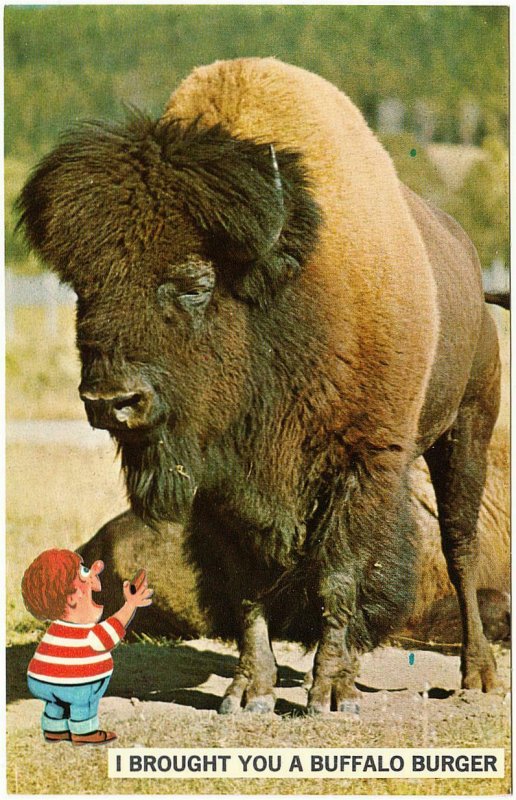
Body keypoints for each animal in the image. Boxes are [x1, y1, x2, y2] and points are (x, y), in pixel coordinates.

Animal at [18, 58, 501, 713]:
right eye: (82, 288)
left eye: (194, 284)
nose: (112, 401)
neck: (283, 294)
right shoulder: (218, 492)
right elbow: (245, 588)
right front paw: (250, 690)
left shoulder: (360, 462)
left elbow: (339, 574)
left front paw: (329, 693)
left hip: (465, 429)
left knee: (459, 546)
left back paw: (477, 675)